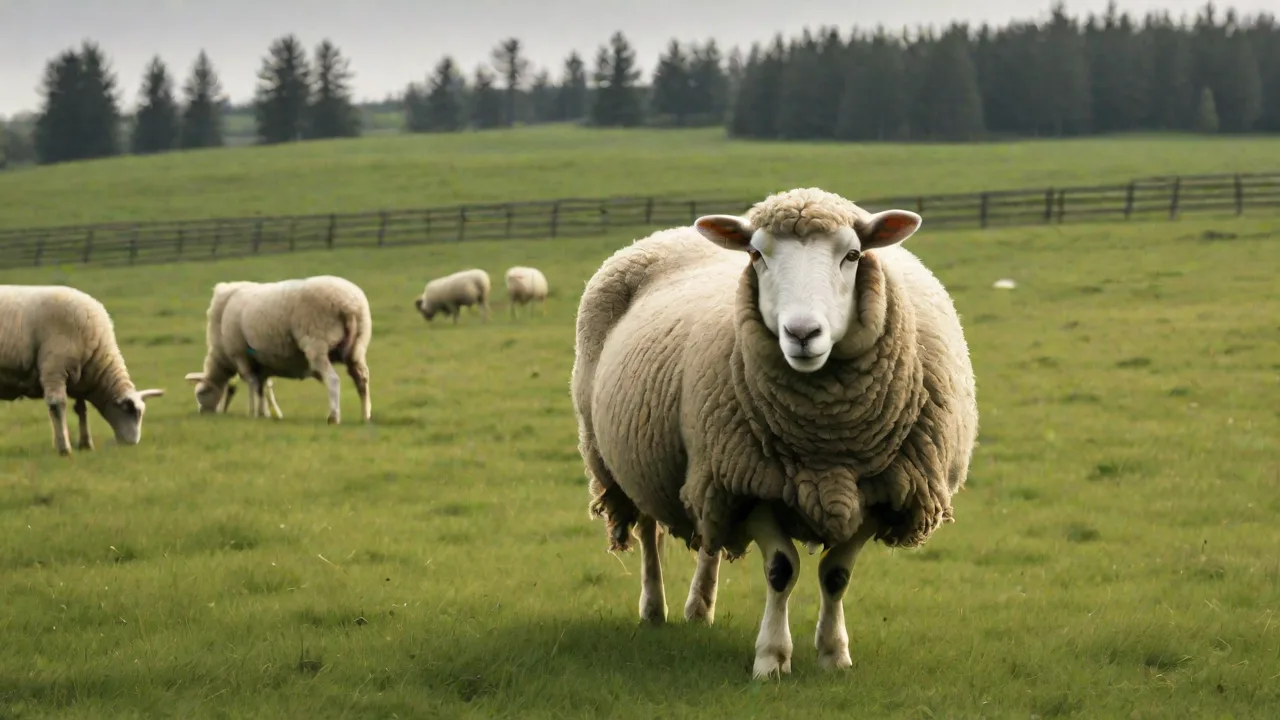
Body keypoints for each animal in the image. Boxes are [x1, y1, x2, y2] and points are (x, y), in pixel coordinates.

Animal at [0, 284, 165, 455]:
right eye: (131, 412)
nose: (133, 443)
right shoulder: (54, 370)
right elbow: (57, 406)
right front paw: (64, 448)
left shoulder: (80, 379)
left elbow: (81, 409)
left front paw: (86, 444)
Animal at [183, 275, 372, 424]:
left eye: (200, 393)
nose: (203, 414)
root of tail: (349, 304)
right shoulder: (262, 362)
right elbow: (261, 387)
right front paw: (264, 413)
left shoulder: (240, 355)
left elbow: (251, 383)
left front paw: (252, 412)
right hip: (357, 346)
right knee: (361, 379)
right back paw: (365, 416)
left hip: (317, 342)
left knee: (333, 380)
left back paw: (333, 417)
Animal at [570, 187, 979, 679]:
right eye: (757, 254)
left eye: (853, 255)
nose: (802, 333)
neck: (826, 436)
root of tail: (670, 233)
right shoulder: (756, 485)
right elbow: (781, 570)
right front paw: (771, 659)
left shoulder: (882, 489)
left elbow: (836, 575)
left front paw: (834, 654)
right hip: (633, 457)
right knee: (651, 533)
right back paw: (653, 610)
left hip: (710, 464)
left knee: (709, 535)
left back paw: (699, 609)